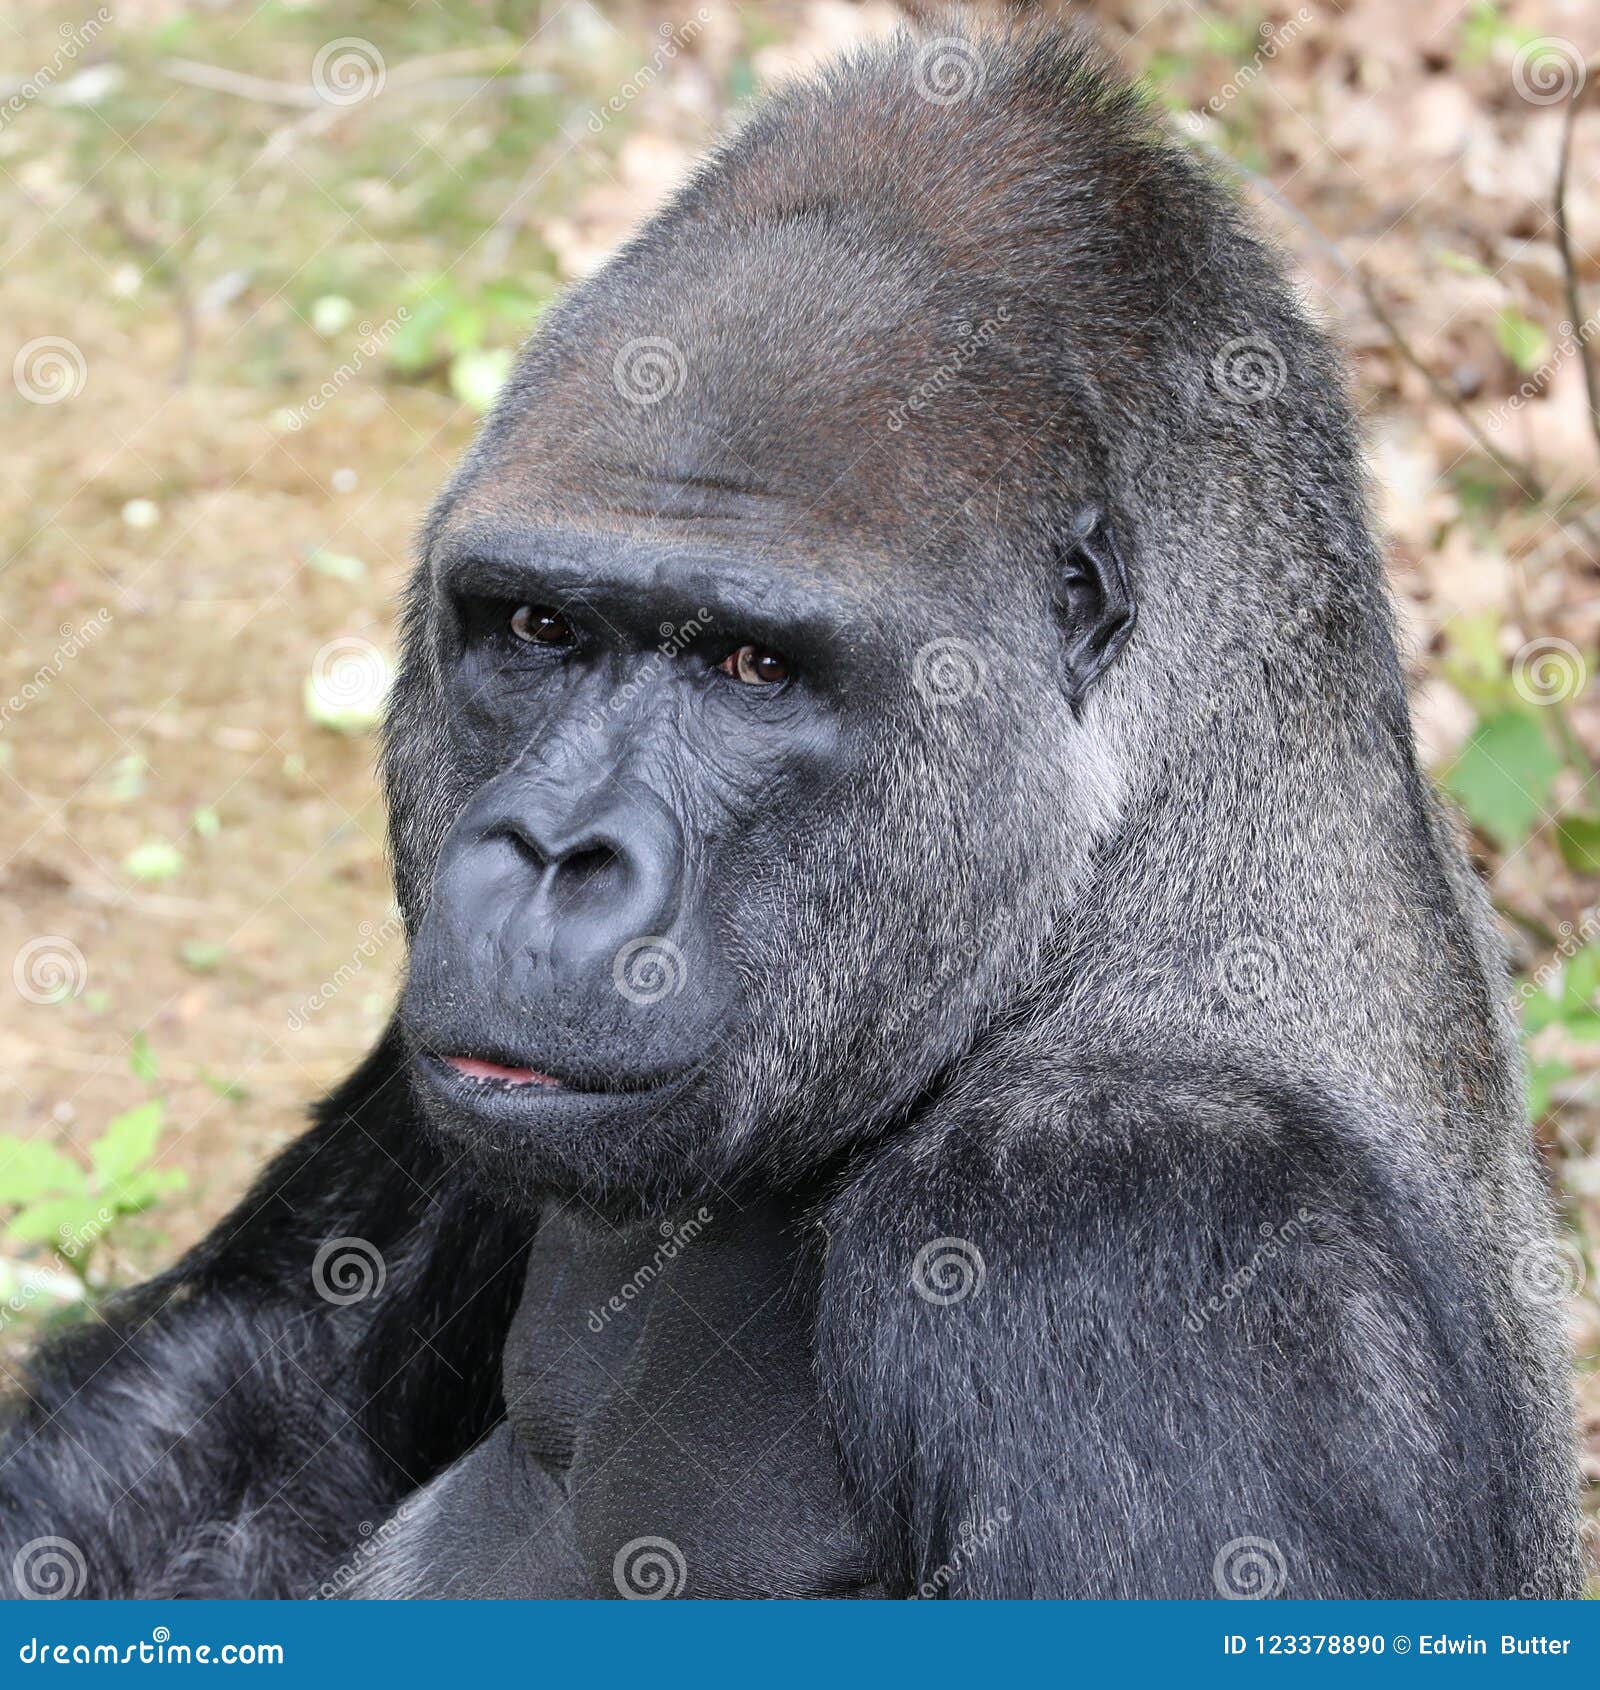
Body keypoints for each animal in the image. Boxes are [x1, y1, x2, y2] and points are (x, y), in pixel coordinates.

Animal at [0, 18, 1582, 1600]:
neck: (1122, 871)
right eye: (534, 629)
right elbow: (269, 1381)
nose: (553, 854)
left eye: (753, 666)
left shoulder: (1131, 1215)